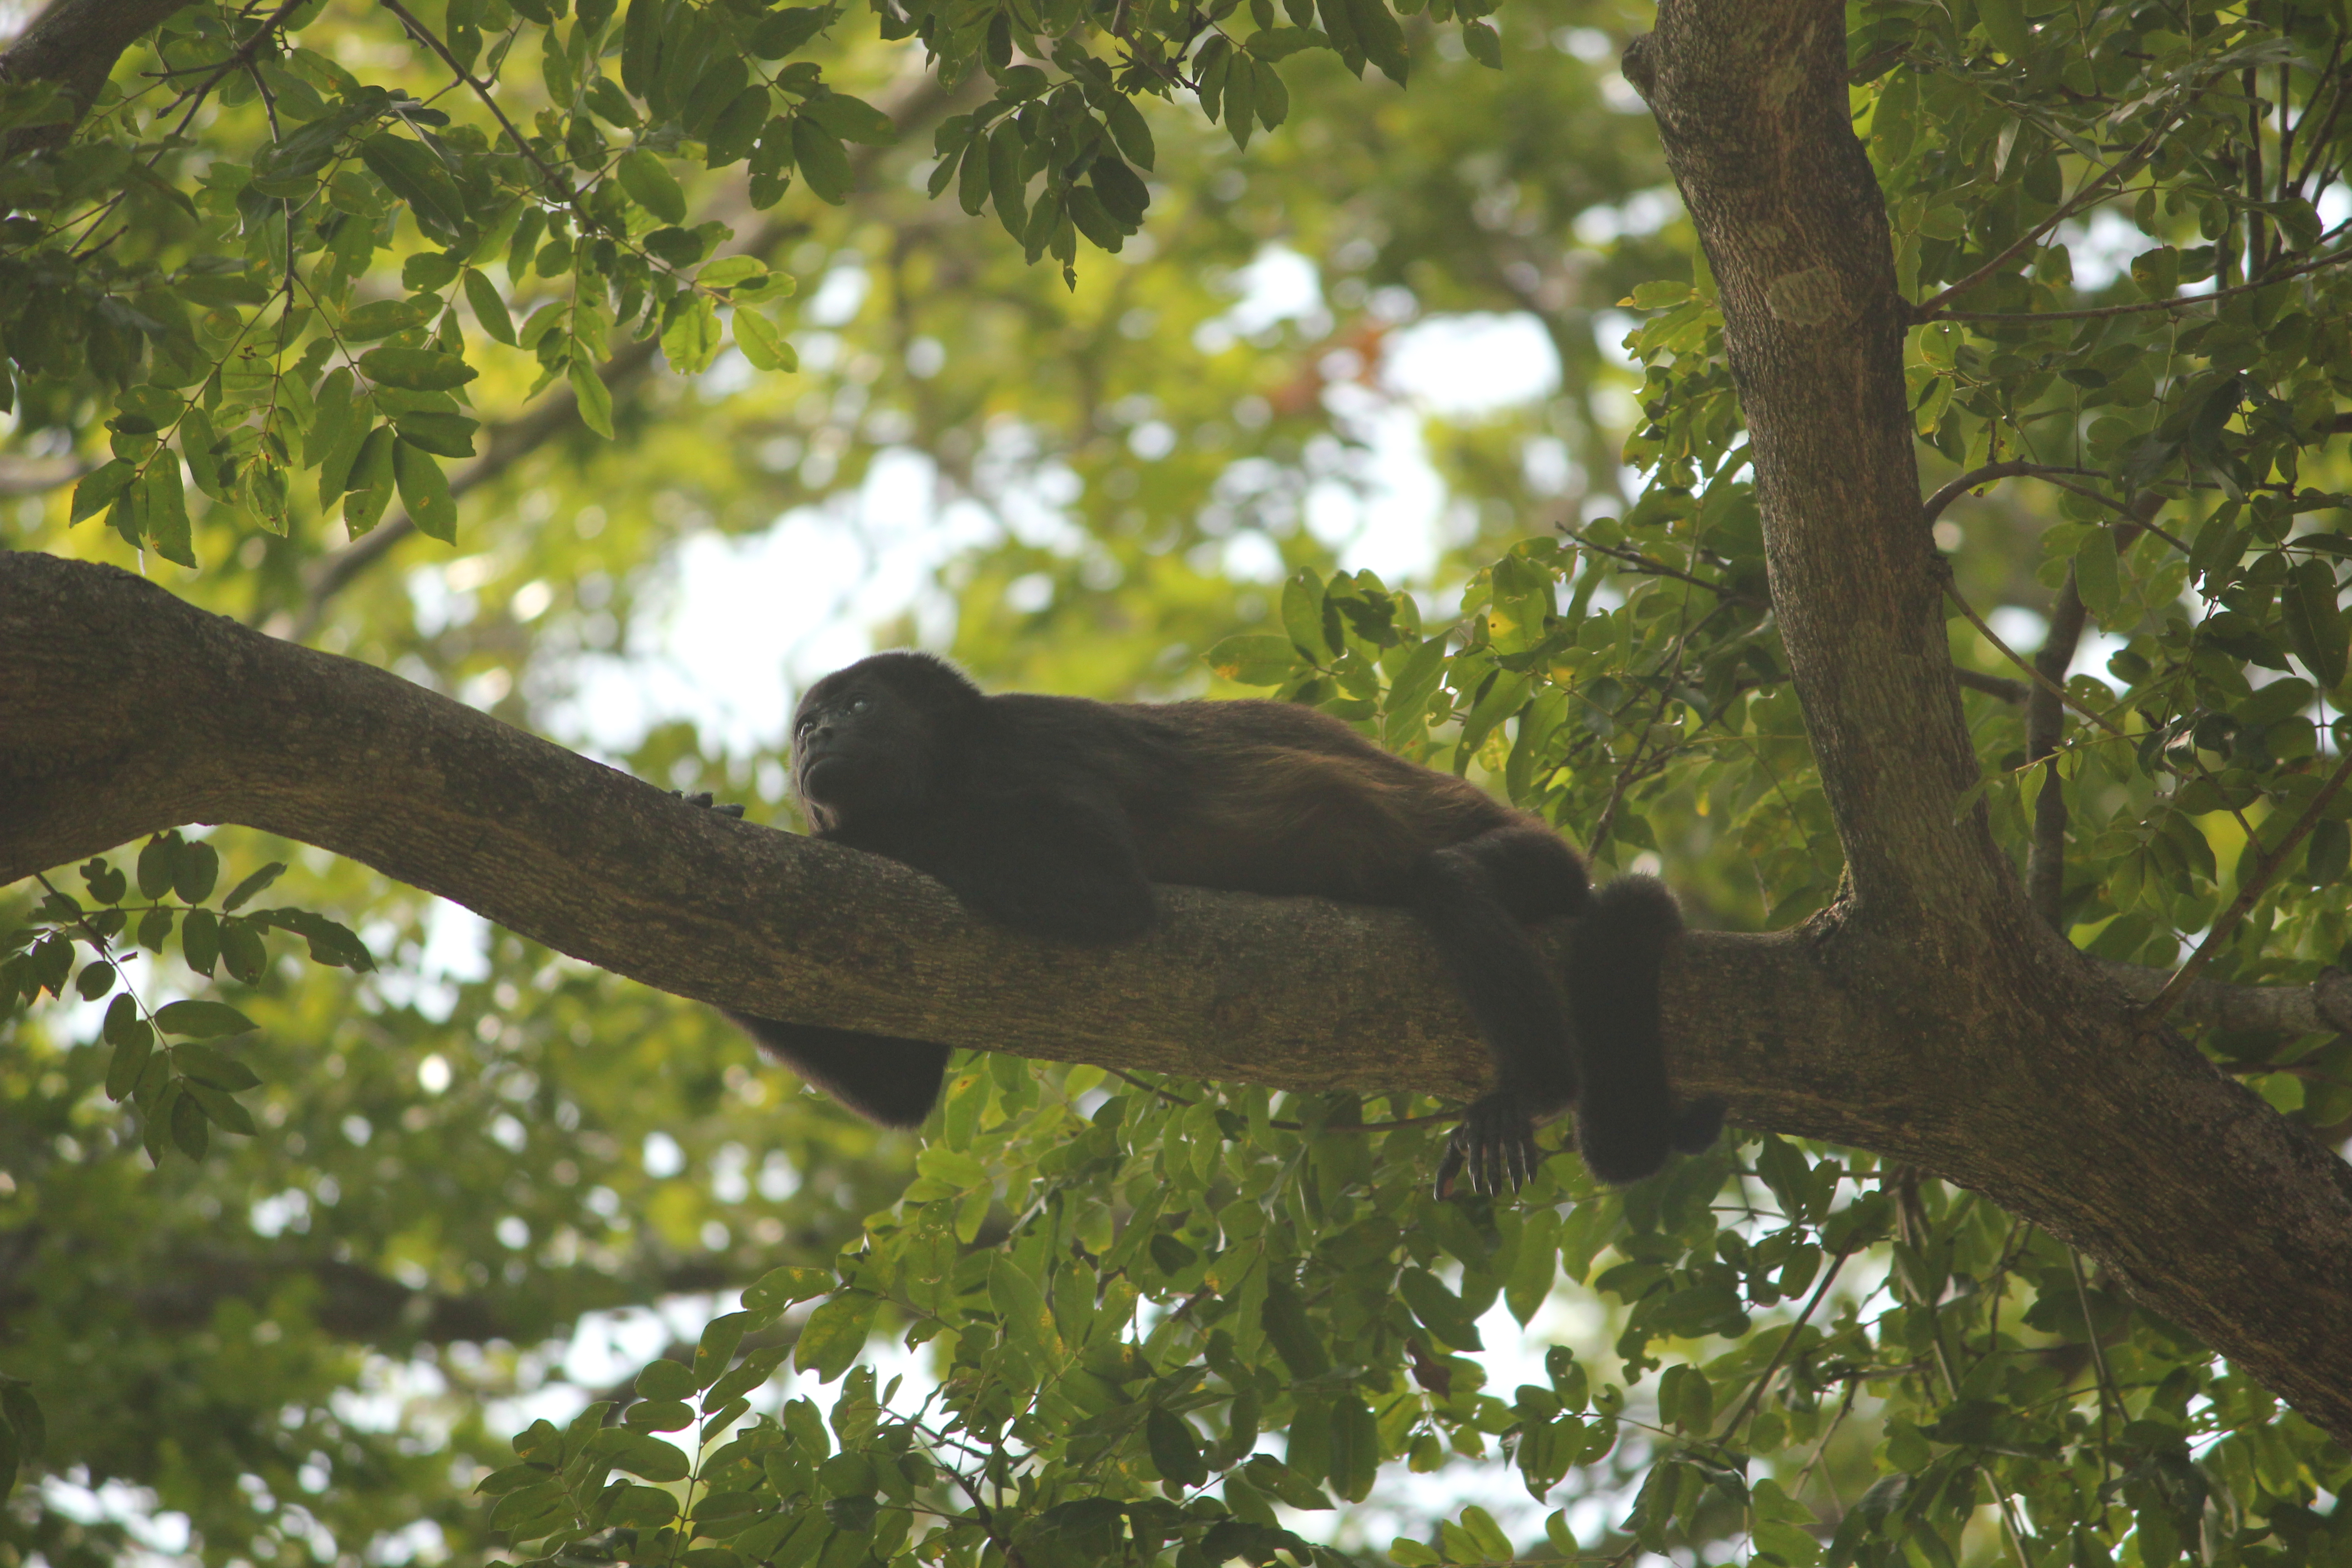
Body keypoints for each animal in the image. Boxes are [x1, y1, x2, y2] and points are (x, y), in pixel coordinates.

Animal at [715, 650, 1722, 1195]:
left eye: (854, 707)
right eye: (805, 723)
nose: (812, 741)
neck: (951, 757)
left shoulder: (1030, 751)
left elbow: (1106, 889)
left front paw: (856, 831)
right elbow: (904, 1089)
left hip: (1541, 859)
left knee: (1451, 883)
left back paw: (1528, 1089)